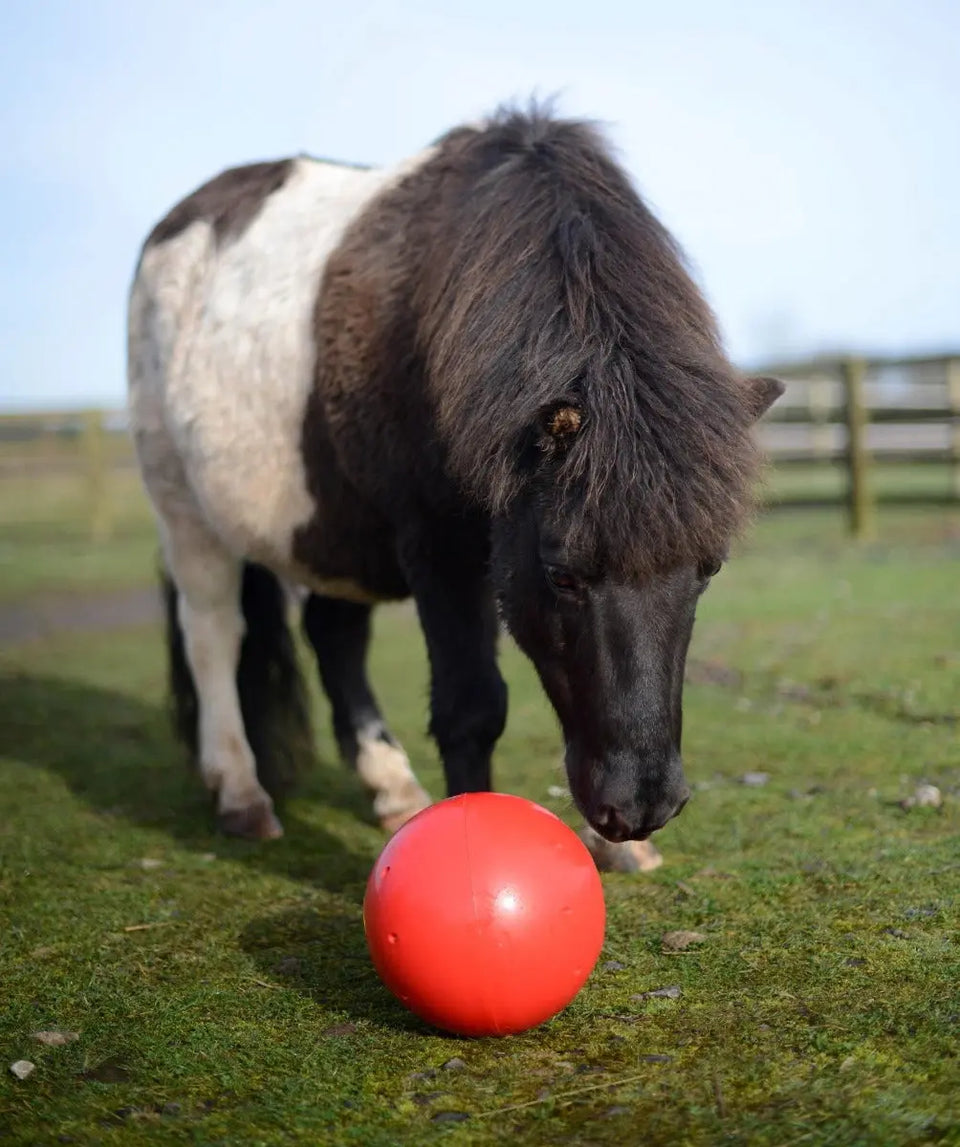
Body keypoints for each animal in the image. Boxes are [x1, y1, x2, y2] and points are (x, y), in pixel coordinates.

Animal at [127, 105, 782, 874]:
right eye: (563, 576)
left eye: (707, 571)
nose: (644, 803)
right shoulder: (439, 547)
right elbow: (472, 705)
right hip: (182, 502)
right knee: (212, 632)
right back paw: (239, 792)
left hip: (333, 527)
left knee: (333, 634)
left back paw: (390, 785)